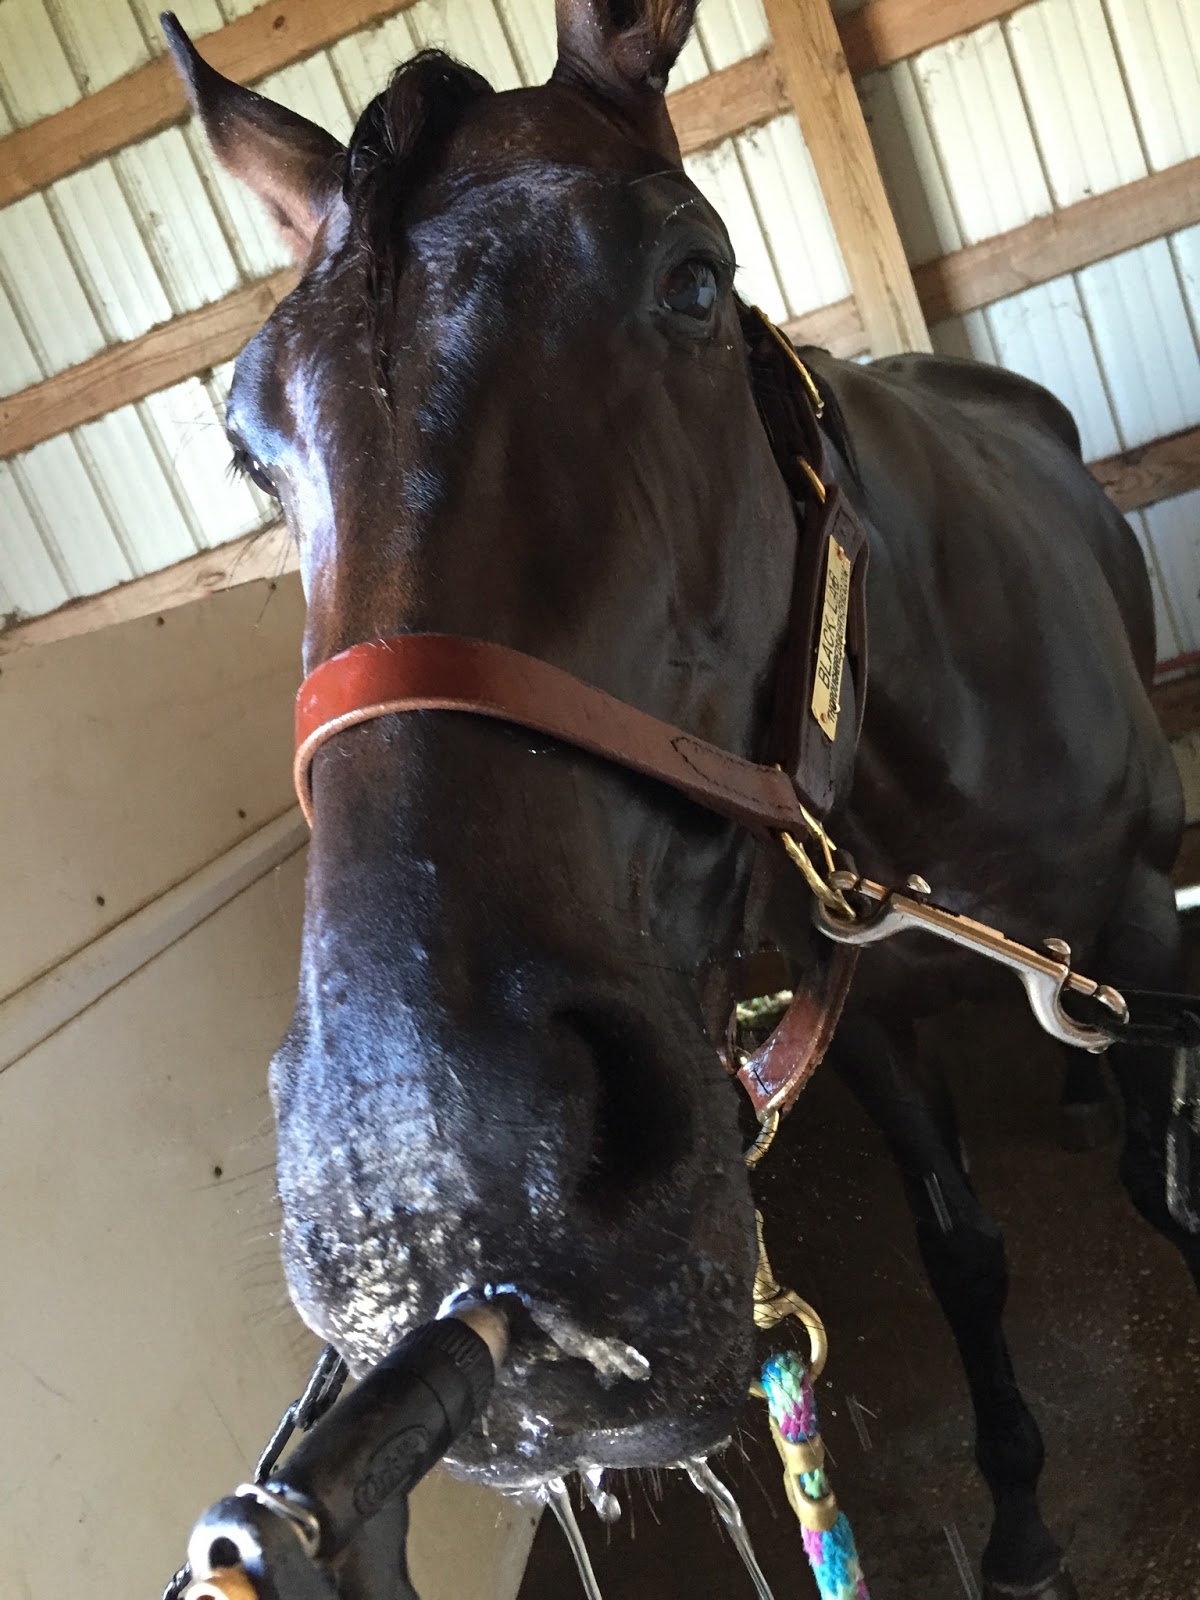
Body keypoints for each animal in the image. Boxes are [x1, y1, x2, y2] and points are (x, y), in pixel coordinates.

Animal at [163, 3, 1194, 1594]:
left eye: (693, 279)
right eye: (247, 441)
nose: (430, 1196)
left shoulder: (1141, 928)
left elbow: (1161, 1183)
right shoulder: (874, 1025)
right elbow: (961, 1258)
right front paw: (1021, 1516)